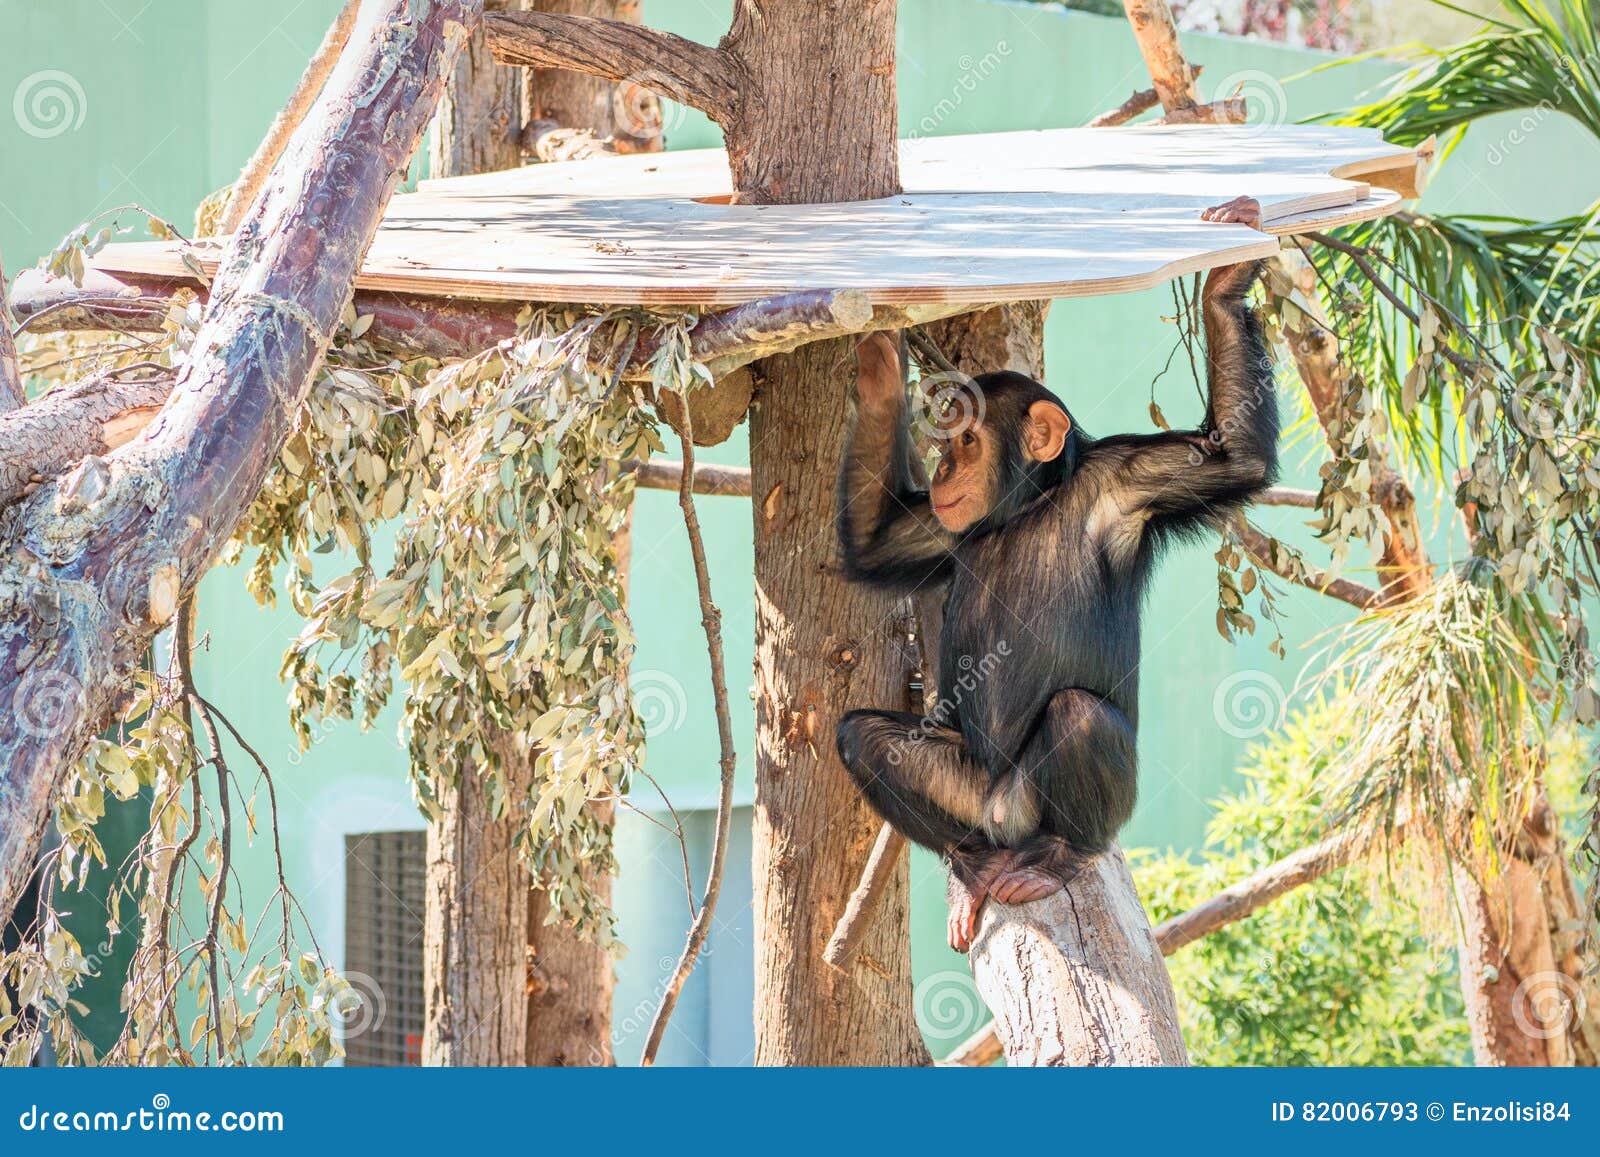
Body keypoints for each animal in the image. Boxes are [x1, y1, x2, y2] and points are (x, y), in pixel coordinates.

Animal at [834, 196, 1279, 952]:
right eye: (943, 442)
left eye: (967, 439)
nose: (944, 470)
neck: (1027, 506)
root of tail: (1007, 824)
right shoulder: (940, 530)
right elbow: (874, 542)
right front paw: (877, 364)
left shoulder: (1131, 483)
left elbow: (1233, 455)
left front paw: (1225, 281)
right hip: (971, 792)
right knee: (868, 739)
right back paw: (972, 867)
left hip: (1050, 805)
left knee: (1079, 717)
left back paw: (1058, 859)